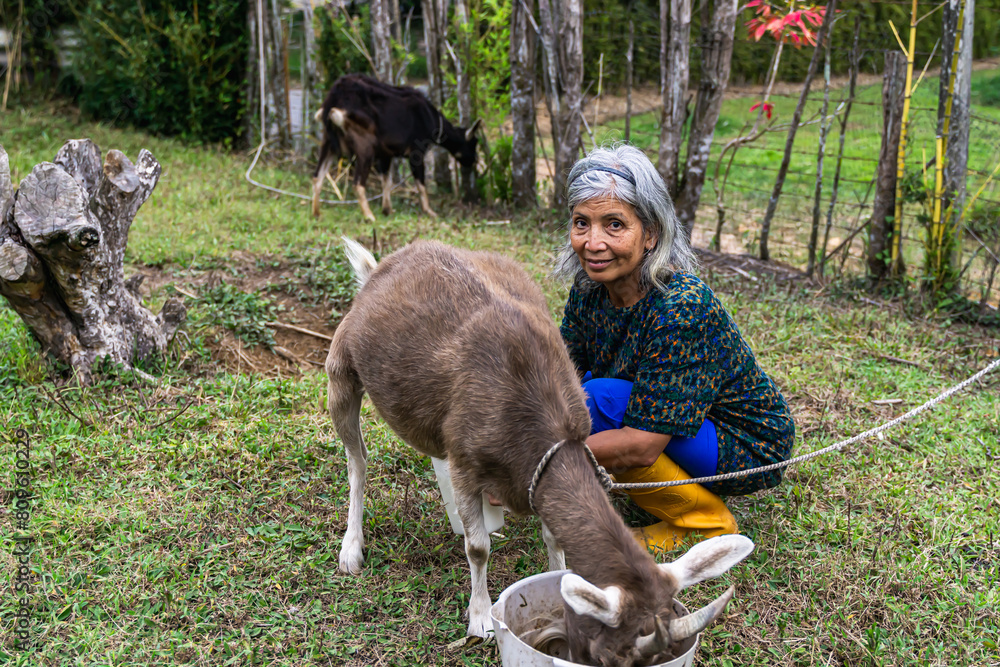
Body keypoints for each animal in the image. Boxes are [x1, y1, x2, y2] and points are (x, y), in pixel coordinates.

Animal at [312, 74, 480, 222]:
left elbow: (387, 181)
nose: (472, 162)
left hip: (328, 142)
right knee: (357, 184)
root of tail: (335, 97)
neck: (432, 120)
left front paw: (387, 210)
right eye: (473, 144)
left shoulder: (385, 154)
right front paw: (429, 211)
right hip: (365, 144)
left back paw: (317, 213)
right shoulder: (416, 151)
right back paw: (369, 216)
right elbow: (421, 184)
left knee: (317, 177)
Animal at [326, 238, 753, 666]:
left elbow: (553, 538)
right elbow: (477, 548)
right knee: (357, 460)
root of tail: (385, 265)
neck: (532, 414)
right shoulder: (466, 461)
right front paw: (479, 619)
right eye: (612, 657)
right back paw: (351, 549)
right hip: (341, 364)